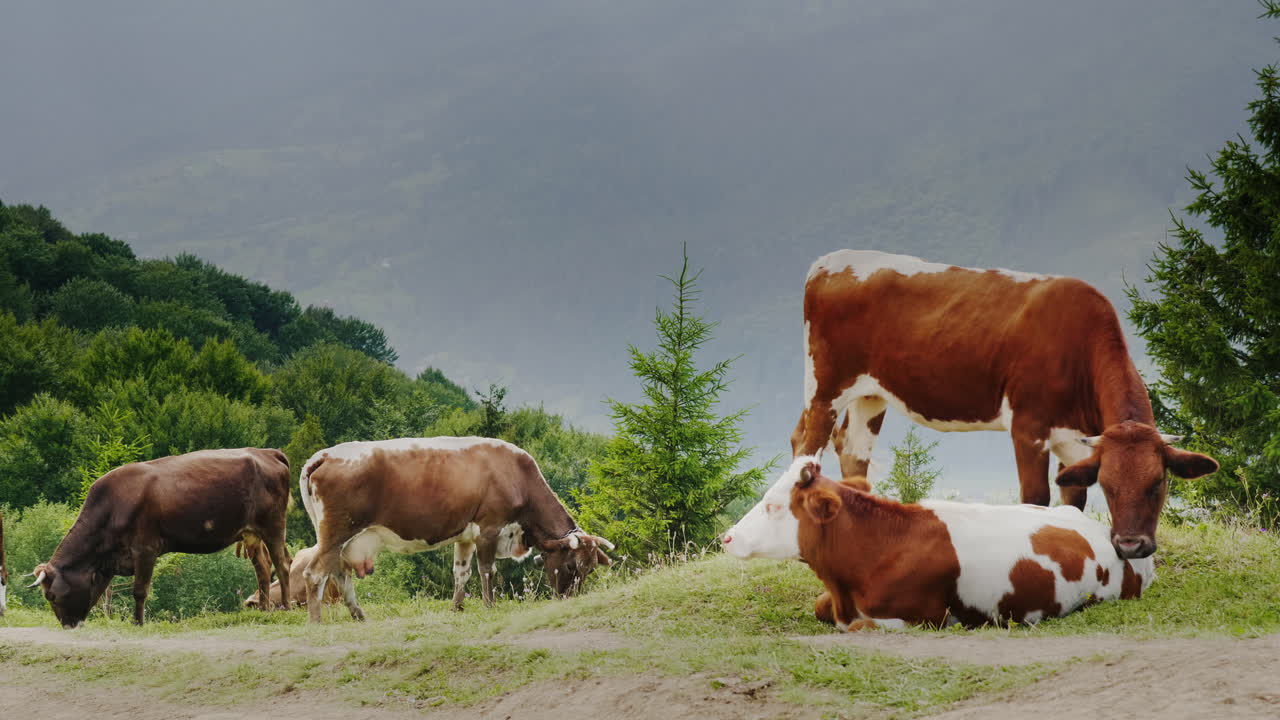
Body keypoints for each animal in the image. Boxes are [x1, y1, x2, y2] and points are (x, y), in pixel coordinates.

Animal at [29, 448, 292, 627]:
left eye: (51, 595)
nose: (67, 625)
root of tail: (267, 452)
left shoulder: (145, 549)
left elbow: (139, 590)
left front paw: (138, 623)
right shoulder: (109, 562)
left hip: (274, 525)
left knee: (282, 565)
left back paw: (287, 607)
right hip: (251, 533)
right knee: (263, 568)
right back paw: (265, 610)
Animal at [299, 437, 613, 623]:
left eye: (591, 569)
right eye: (572, 566)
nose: (570, 598)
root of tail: (325, 454)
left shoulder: (466, 536)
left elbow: (461, 572)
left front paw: (457, 608)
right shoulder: (489, 528)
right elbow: (487, 570)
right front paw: (489, 606)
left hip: (341, 540)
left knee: (338, 573)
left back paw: (360, 616)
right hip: (336, 532)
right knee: (315, 573)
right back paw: (316, 622)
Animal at [792, 249, 1219, 558]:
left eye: (1158, 483)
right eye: (1109, 486)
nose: (1131, 547)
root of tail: (829, 261)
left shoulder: (1075, 438)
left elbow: (1072, 498)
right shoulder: (1028, 426)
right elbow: (1036, 498)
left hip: (871, 393)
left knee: (852, 448)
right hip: (825, 385)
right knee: (806, 445)